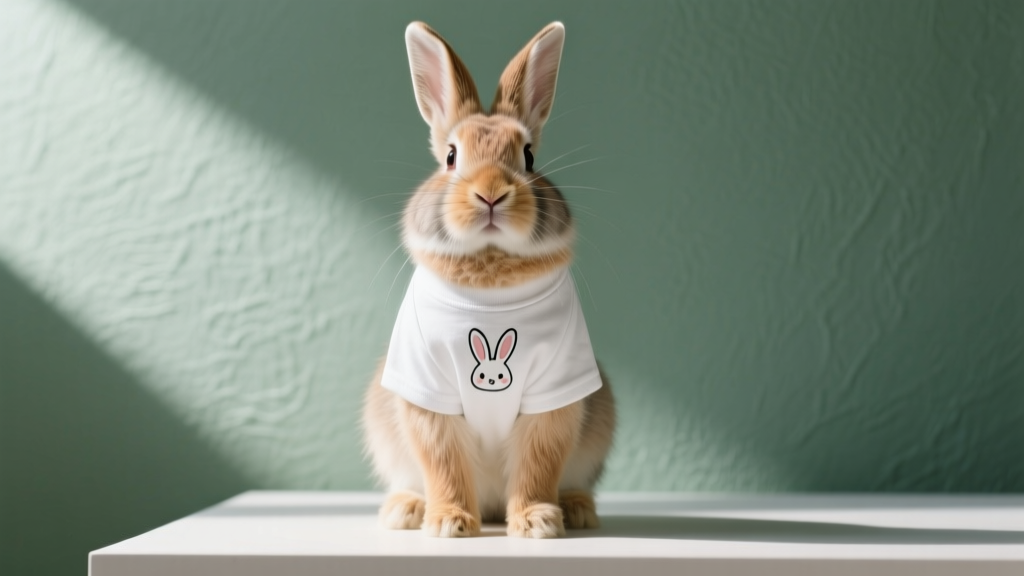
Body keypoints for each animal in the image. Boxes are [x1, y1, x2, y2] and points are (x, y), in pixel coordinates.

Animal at [362, 20, 615, 539]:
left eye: (530, 156)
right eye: (451, 156)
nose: (491, 194)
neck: (490, 271)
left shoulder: (554, 390)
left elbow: (540, 459)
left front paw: (537, 522)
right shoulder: (427, 391)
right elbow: (443, 460)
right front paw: (451, 524)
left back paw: (577, 510)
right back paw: (406, 511)